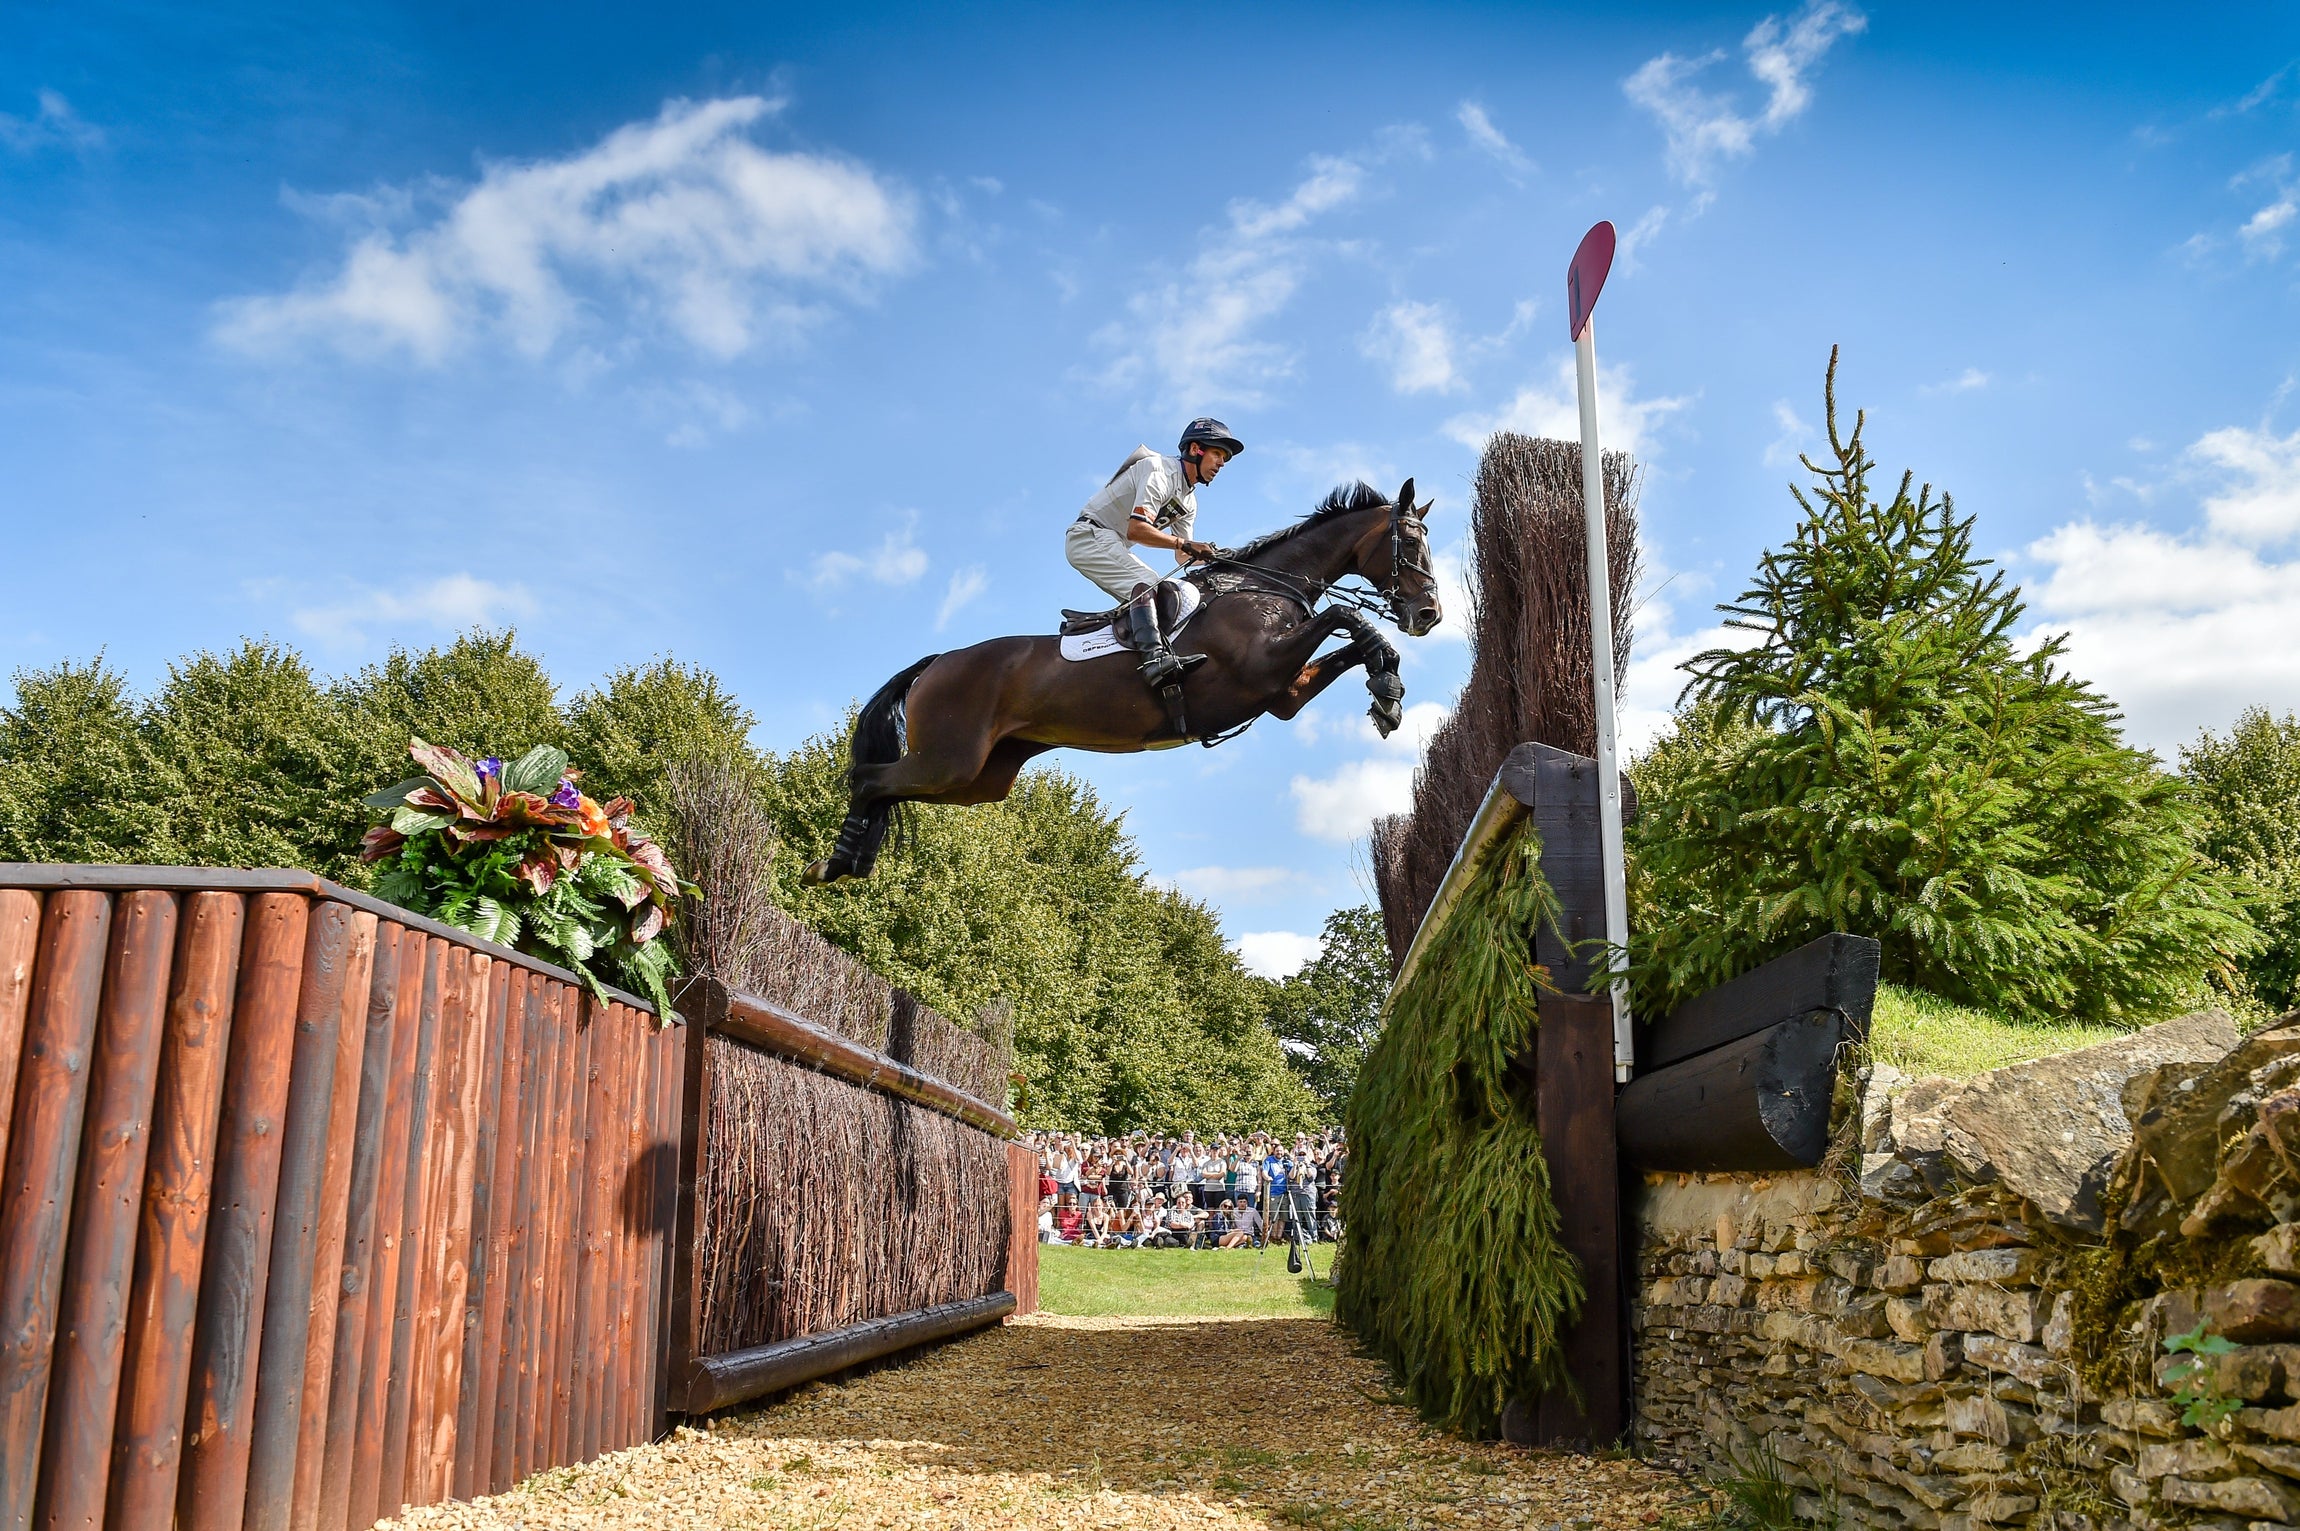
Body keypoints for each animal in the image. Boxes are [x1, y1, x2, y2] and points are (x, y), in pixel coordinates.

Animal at [802, 478, 1443, 885]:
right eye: (1411, 544)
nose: (1429, 615)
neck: (1263, 586)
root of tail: (939, 661)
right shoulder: (1260, 669)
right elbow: (1344, 617)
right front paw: (1387, 681)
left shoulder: (1282, 693)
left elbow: (1348, 639)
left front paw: (1387, 693)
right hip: (948, 760)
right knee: (867, 777)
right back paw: (833, 864)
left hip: (977, 779)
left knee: (887, 787)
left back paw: (851, 860)